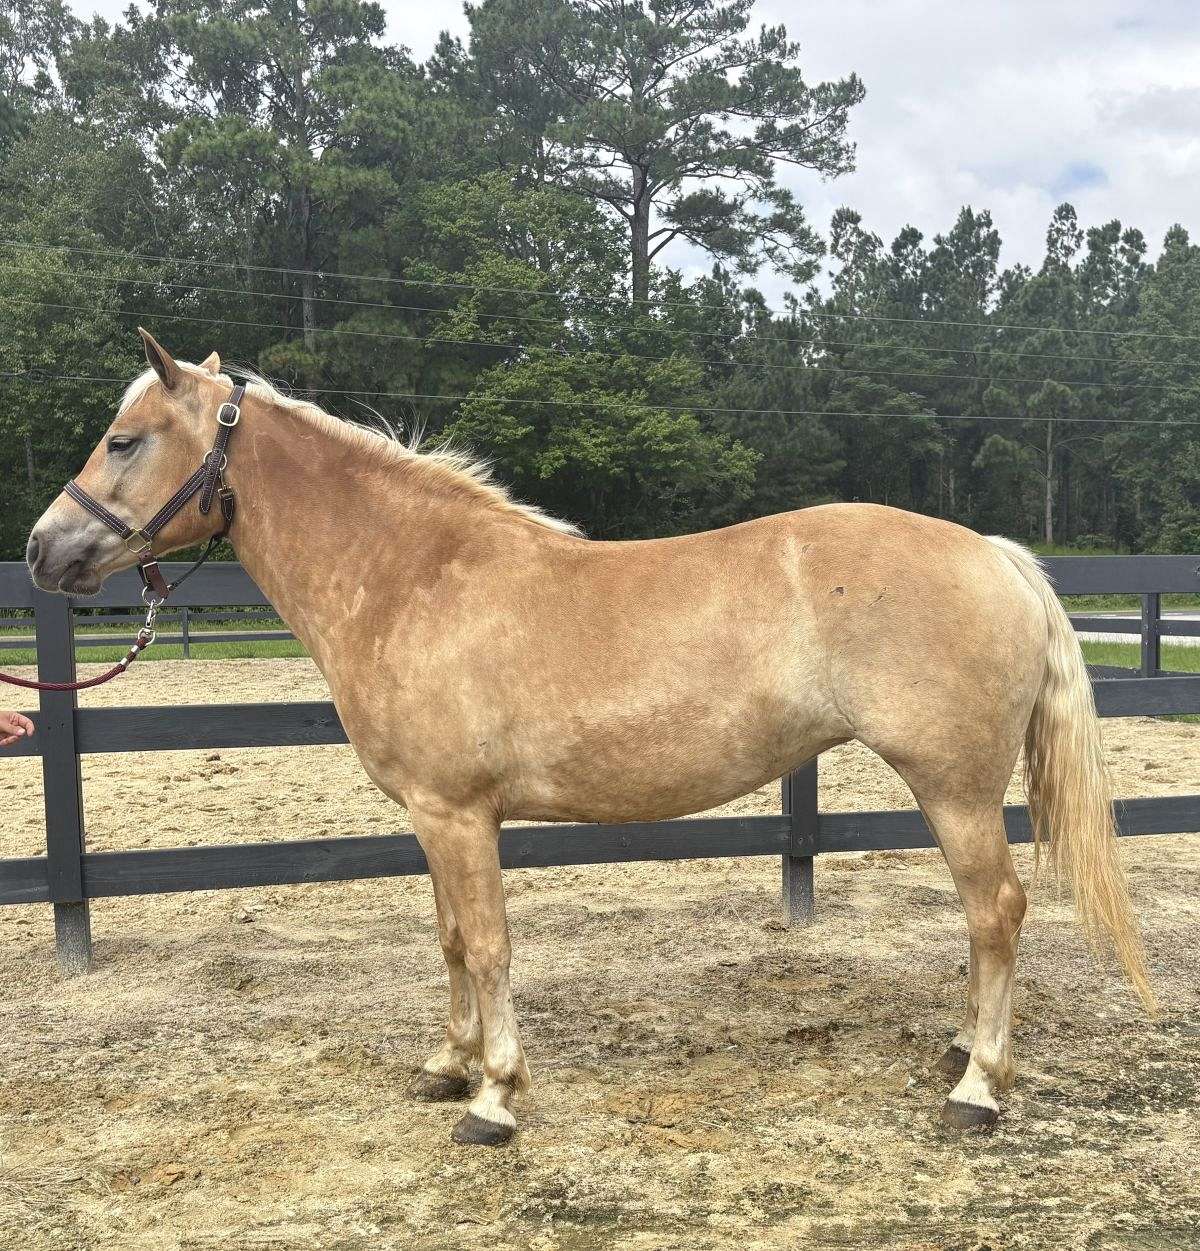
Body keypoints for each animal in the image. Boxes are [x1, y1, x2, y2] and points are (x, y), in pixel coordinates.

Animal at [26, 329, 1155, 1146]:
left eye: (124, 439)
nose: (42, 550)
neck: (414, 576)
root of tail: (997, 553)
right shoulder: (434, 818)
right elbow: (449, 939)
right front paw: (448, 1067)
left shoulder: (458, 815)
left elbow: (487, 943)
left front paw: (494, 1099)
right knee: (983, 920)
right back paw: (962, 1050)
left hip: (954, 789)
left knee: (996, 912)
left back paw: (979, 1087)